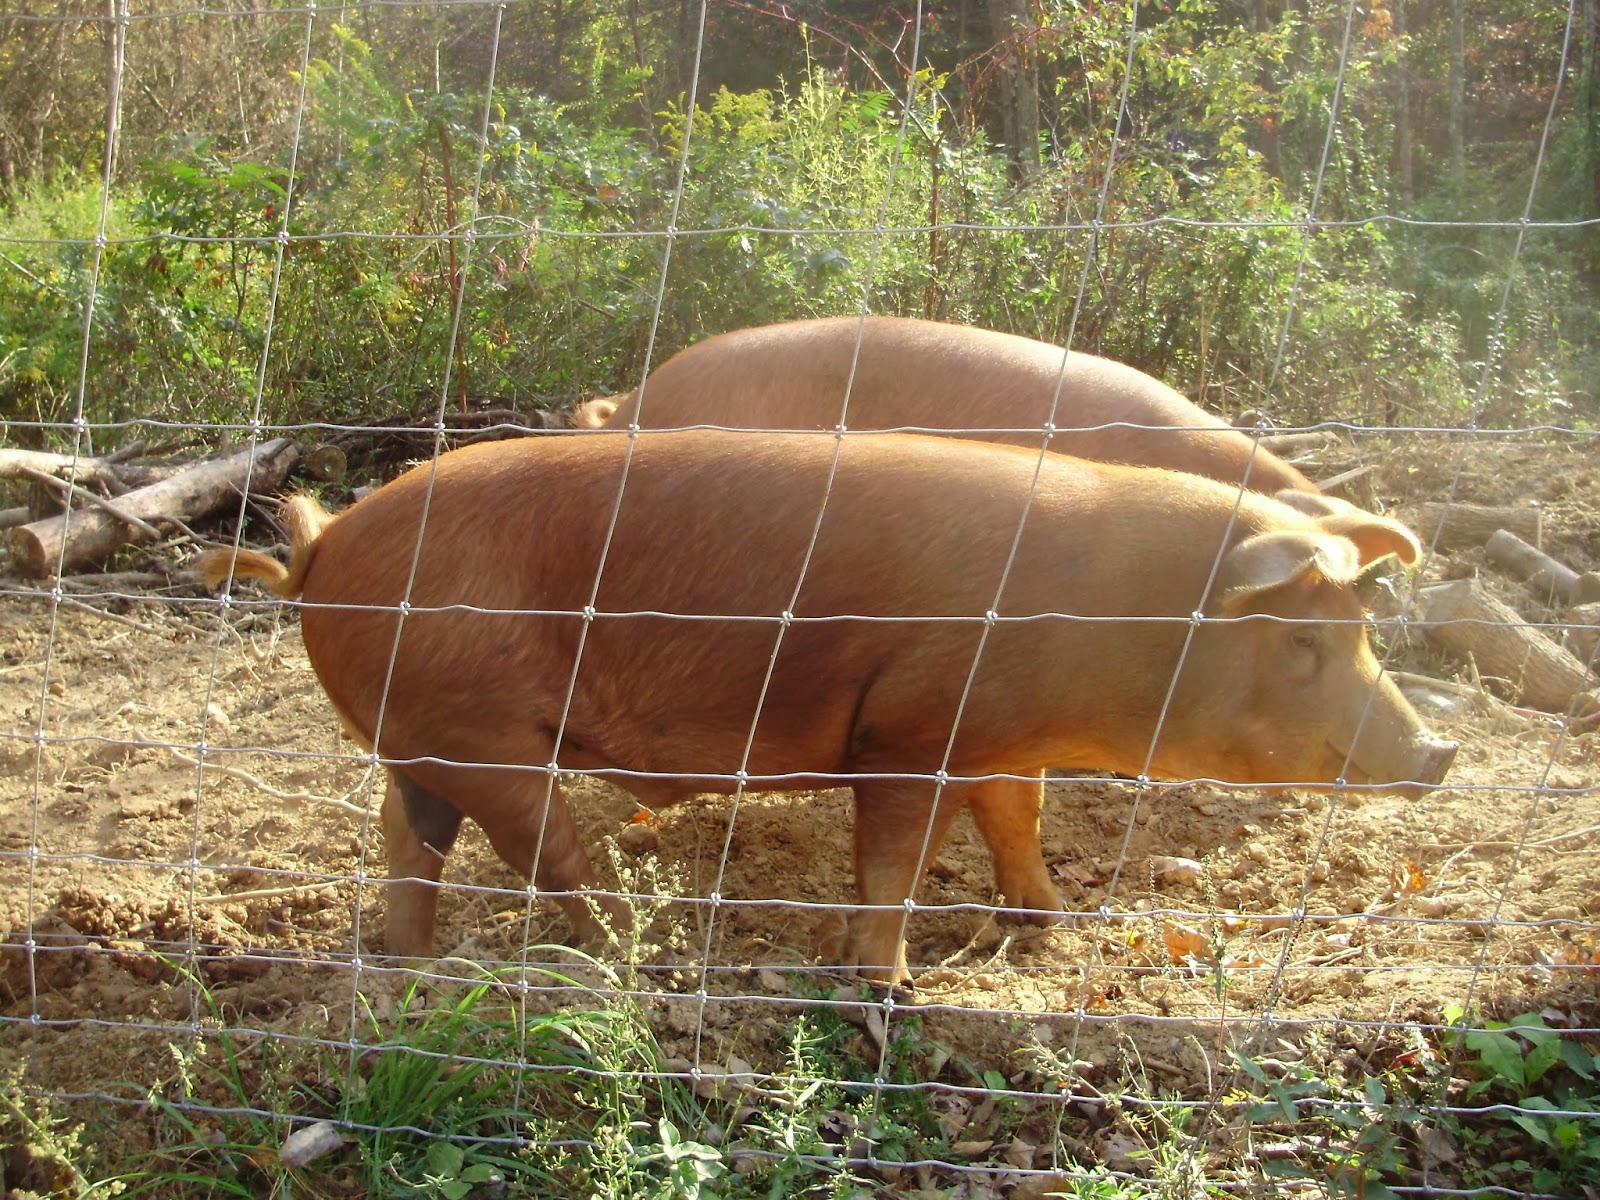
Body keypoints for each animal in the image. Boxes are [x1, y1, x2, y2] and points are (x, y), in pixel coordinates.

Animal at [203, 430, 1454, 986]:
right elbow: (892, 857)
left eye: (1359, 630)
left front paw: (1045, 925)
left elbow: (1020, 822)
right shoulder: (907, 733)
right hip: (478, 732)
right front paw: (886, 984)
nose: (1440, 750)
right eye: (1300, 640)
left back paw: (411, 971)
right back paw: (636, 961)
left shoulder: (997, 741)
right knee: (541, 853)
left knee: (409, 840)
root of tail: (323, 549)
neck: (1101, 612)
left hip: (420, 735)